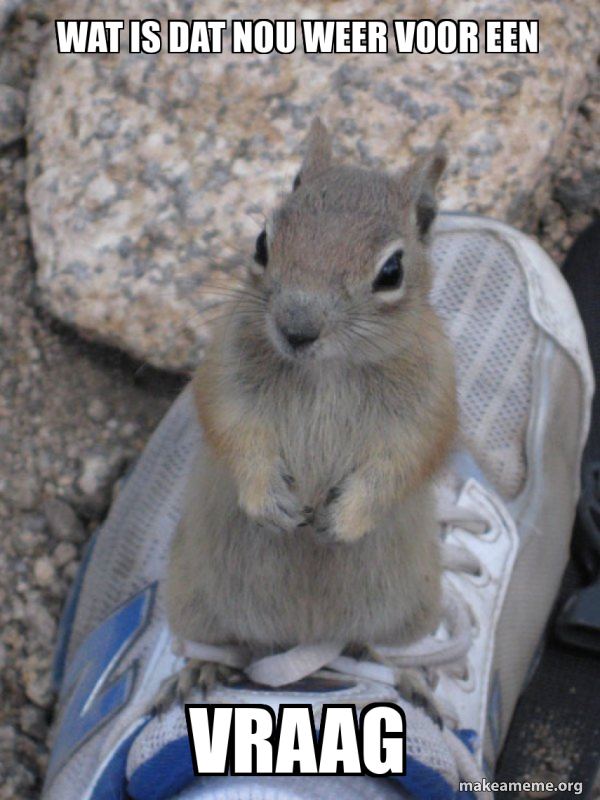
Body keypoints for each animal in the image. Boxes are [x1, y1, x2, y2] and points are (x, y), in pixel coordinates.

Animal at [162, 119, 458, 706]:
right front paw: (268, 500)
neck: (327, 369)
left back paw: (406, 678)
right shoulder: (226, 377)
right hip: (191, 597)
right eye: (262, 241)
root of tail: (307, 633)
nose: (296, 328)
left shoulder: (428, 407)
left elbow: (401, 464)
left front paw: (345, 518)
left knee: (369, 645)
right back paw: (200, 671)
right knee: (228, 646)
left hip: (412, 610)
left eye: (392, 271)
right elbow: (236, 434)